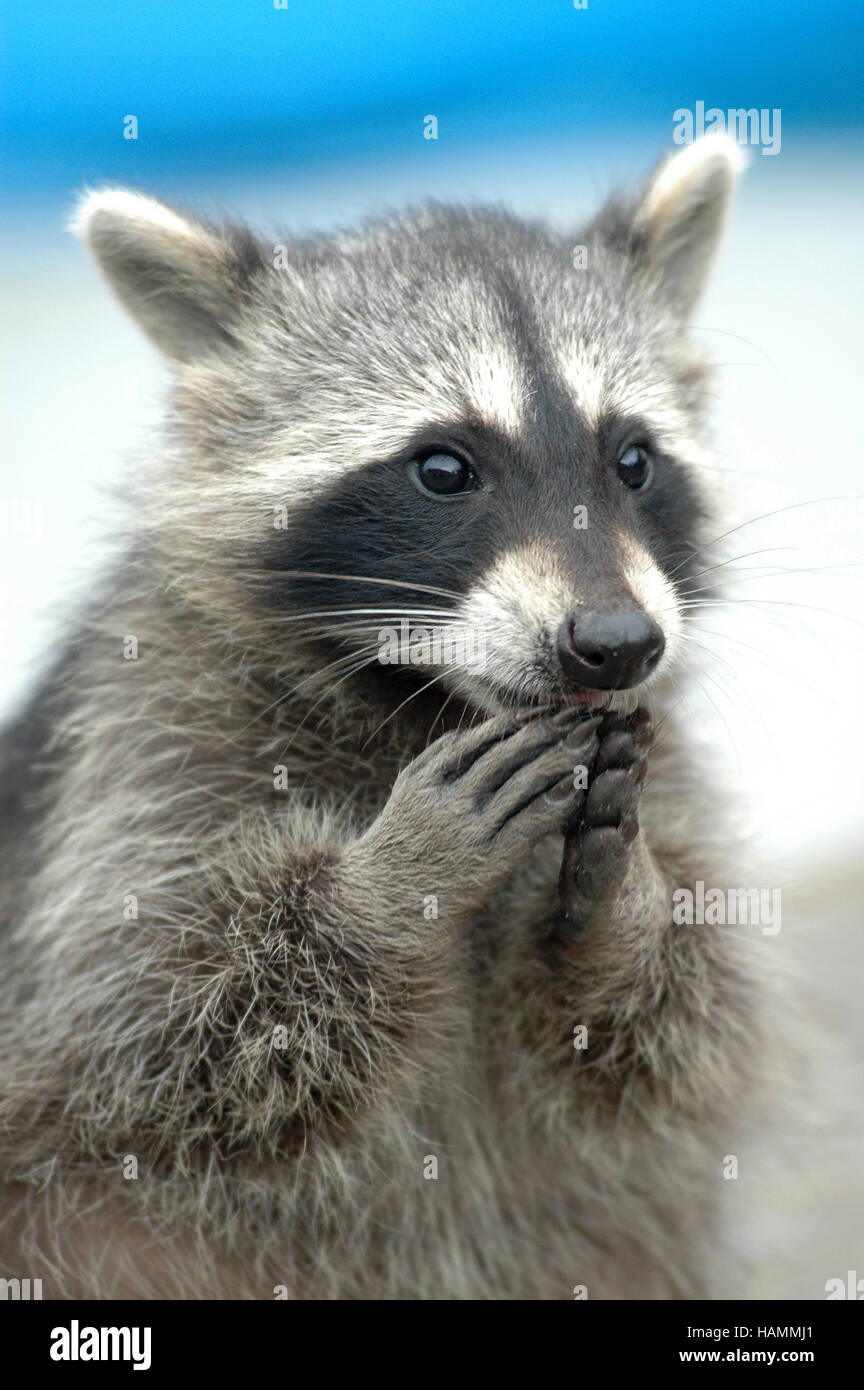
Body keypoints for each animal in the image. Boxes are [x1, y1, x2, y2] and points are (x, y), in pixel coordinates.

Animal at [0, 135, 771, 1299]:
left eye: (633, 459)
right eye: (443, 467)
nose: (618, 643)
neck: (427, 701)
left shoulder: (657, 756)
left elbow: (671, 1037)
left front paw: (631, 905)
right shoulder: (137, 757)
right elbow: (152, 1040)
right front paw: (389, 884)